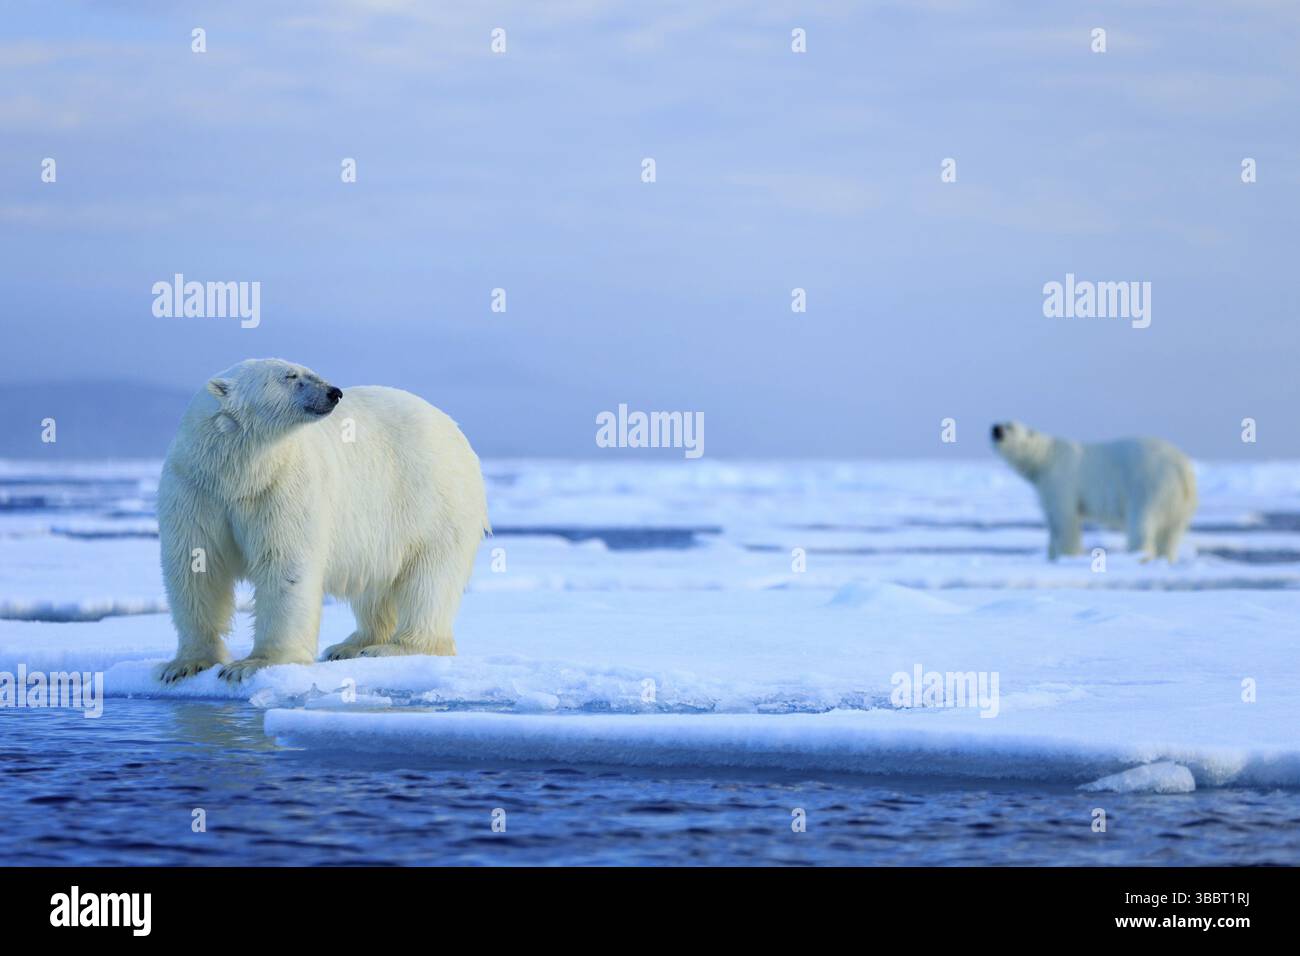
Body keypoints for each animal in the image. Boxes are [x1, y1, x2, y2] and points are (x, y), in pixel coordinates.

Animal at [156, 358, 489, 683]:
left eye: (310, 371)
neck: (239, 474)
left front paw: (253, 664)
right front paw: (185, 664)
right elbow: (198, 565)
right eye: (290, 376)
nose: (334, 392)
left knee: (429, 581)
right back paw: (351, 645)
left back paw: (394, 647)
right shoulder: (195, 489)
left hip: (433, 503)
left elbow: (285, 564)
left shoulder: (282, 485)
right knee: (377, 586)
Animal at [990, 421, 1196, 562]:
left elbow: (1064, 520)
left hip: (1148, 485)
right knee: (1171, 533)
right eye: (1001, 423)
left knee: (1141, 524)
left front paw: (1066, 556)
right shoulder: (1045, 488)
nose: (995, 429)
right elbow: (1052, 521)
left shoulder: (1060, 481)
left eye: (1009, 426)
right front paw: (1051, 555)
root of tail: (1182, 468)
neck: (1046, 459)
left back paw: (1138, 555)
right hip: (1178, 502)